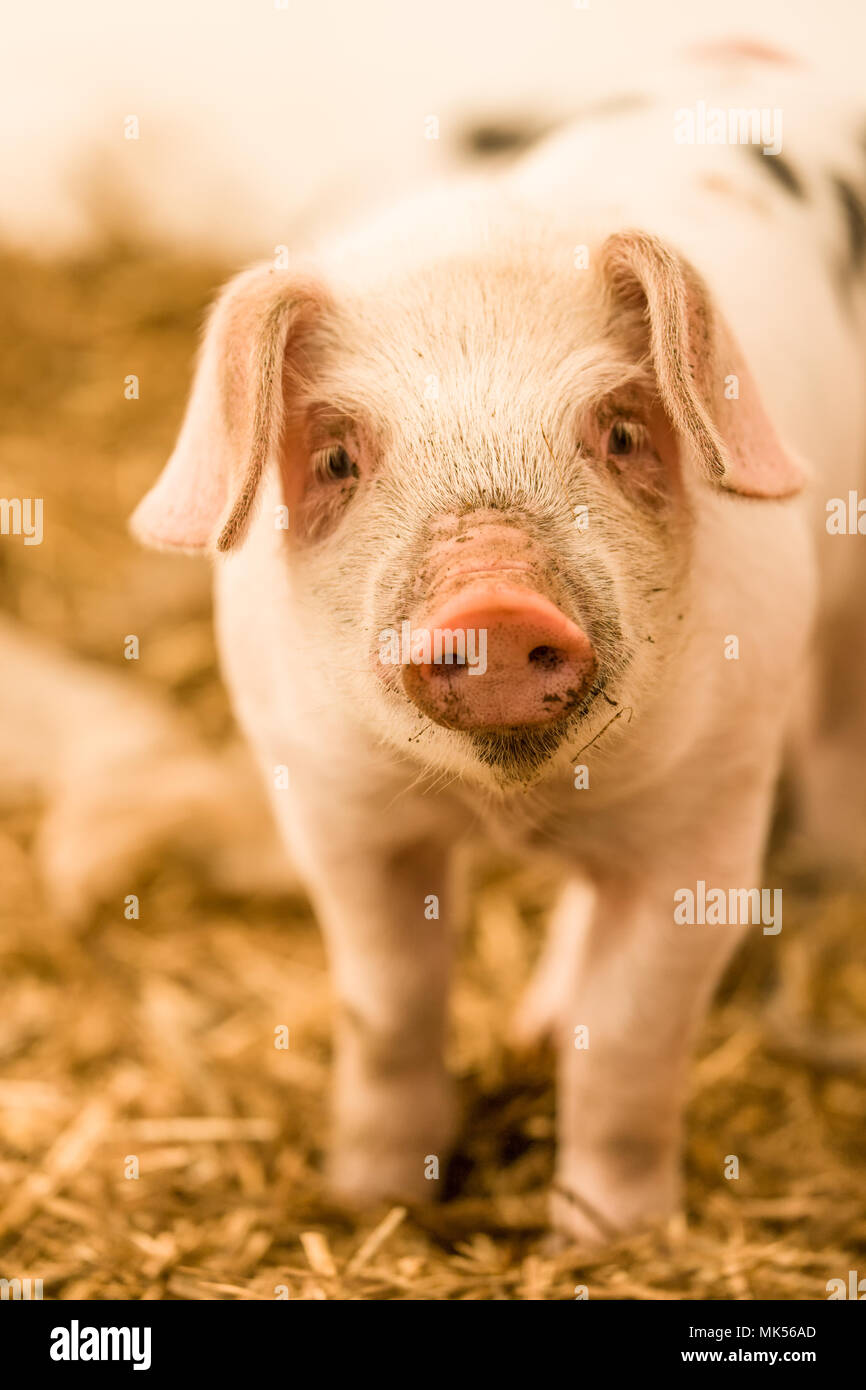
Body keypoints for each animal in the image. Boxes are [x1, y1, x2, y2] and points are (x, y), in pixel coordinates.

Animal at [132, 50, 866, 1243]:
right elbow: (387, 999)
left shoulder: (709, 815)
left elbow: (631, 1031)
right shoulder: (329, 803)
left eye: (622, 432)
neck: (507, 809)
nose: (496, 606)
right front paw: (372, 1195)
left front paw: (609, 1238)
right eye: (336, 457)